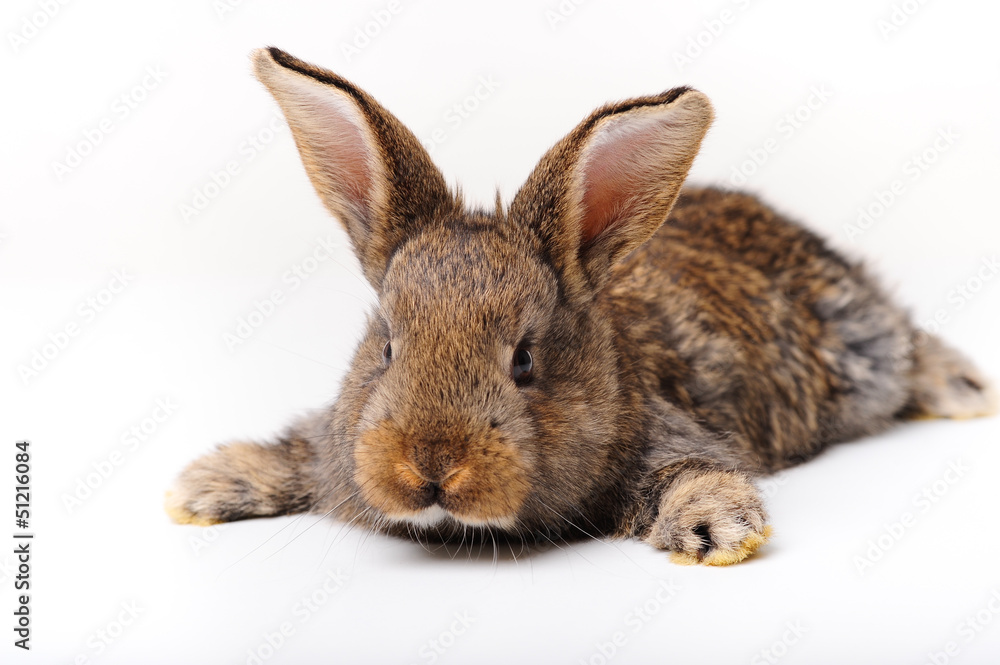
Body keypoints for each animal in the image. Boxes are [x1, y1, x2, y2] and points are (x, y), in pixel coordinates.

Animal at [166, 47, 997, 566]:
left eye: (525, 359)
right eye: (387, 348)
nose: (431, 466)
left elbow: (690, 473)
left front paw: (717, 528)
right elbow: (298, 448)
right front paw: (204, 485)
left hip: (862, 345)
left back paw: (964, 389)